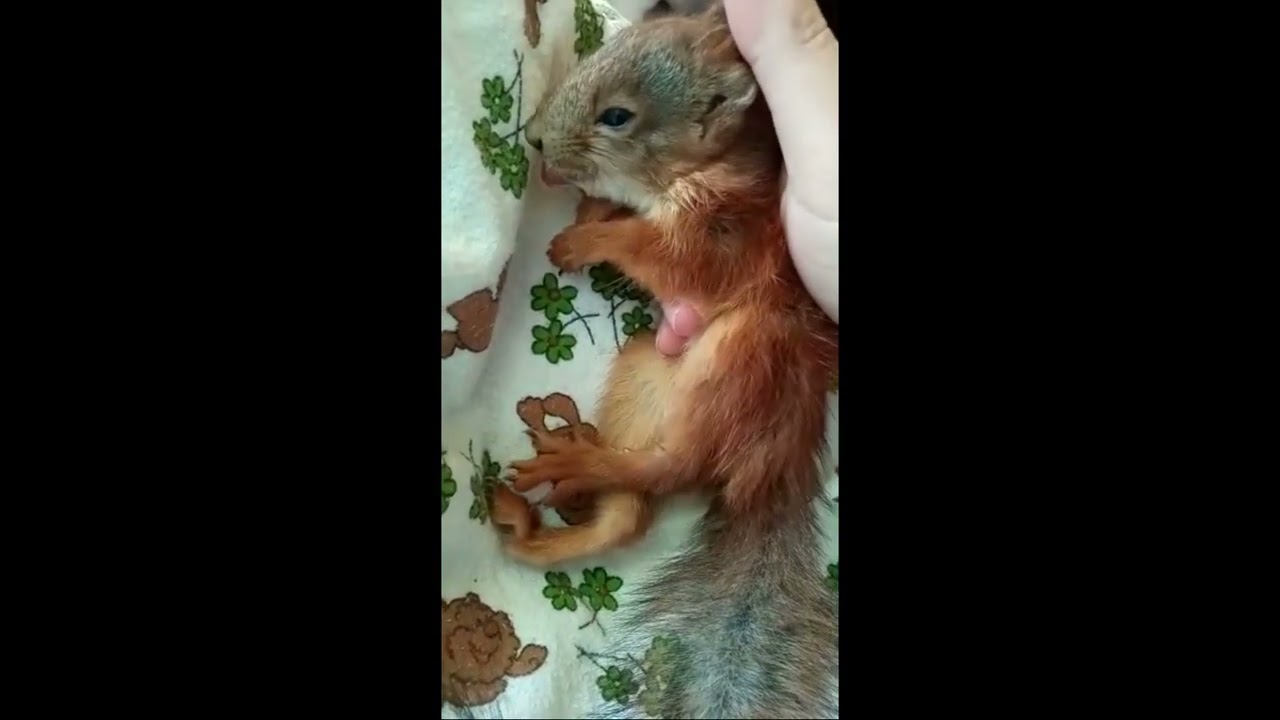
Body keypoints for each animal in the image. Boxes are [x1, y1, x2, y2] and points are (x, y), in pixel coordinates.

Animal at [493, 4, 839, 718]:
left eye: (617, 116)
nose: (534, 140)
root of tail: (774, 473)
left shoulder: (726, 238)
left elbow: (659, 254)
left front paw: (584, 238)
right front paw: (592, 207)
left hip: (740, 357)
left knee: (673, 464)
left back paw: (575, 463)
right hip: (645, 366)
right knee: (630, 515)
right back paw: (548, 507)